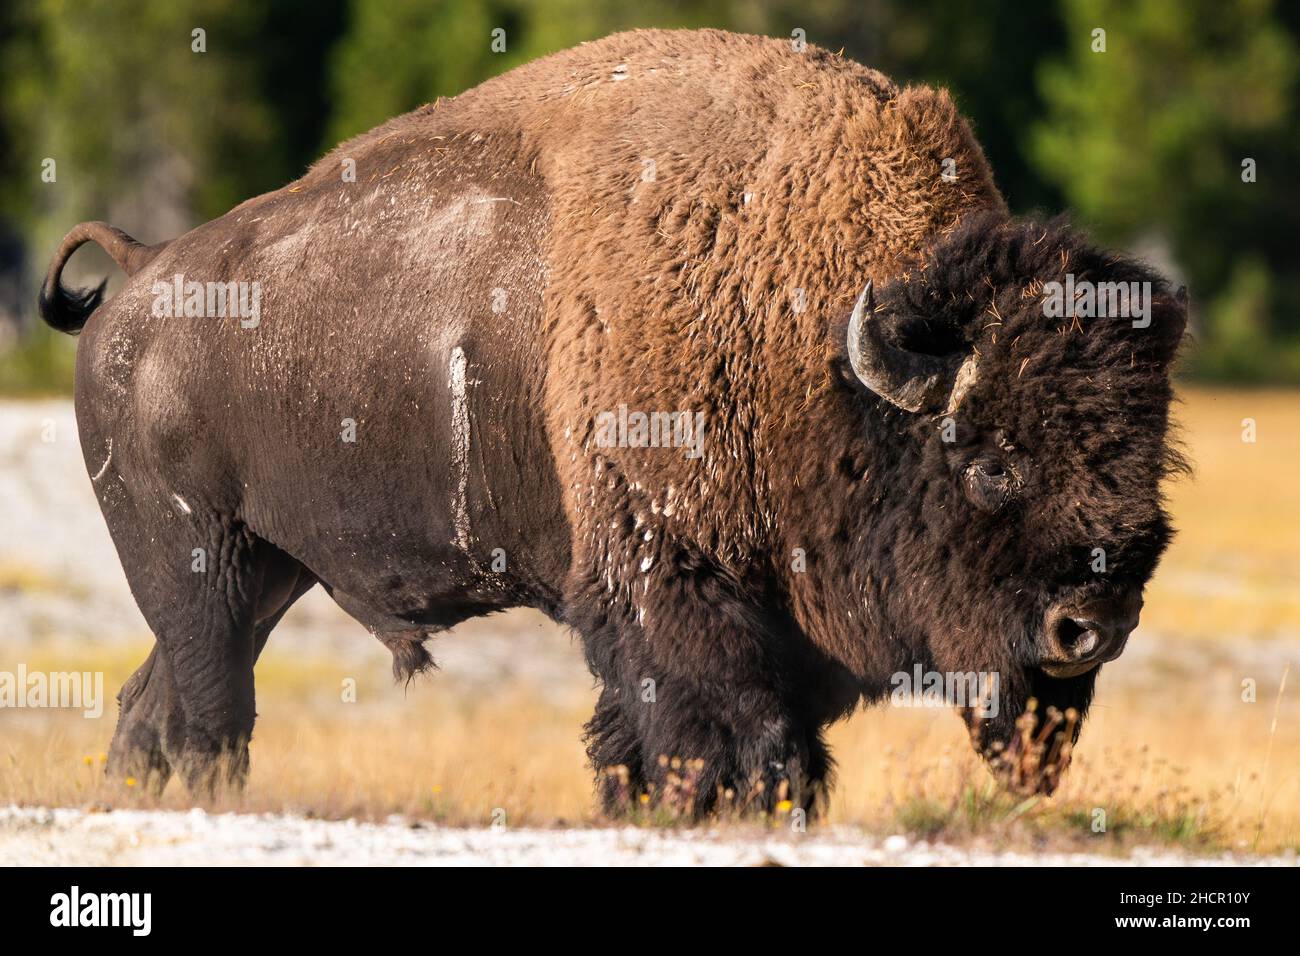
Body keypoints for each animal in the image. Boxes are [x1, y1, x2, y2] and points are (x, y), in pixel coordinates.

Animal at [38, 29, 1186, 815]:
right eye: (990, 464)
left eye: (1148, 463)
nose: (1090, 625)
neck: (801, 329)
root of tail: (144, 270)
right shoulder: (671, 579)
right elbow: (730, 726)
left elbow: (644, 733)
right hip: (196, 556)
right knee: (210, 708)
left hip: (268, 570)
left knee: (155, 699)